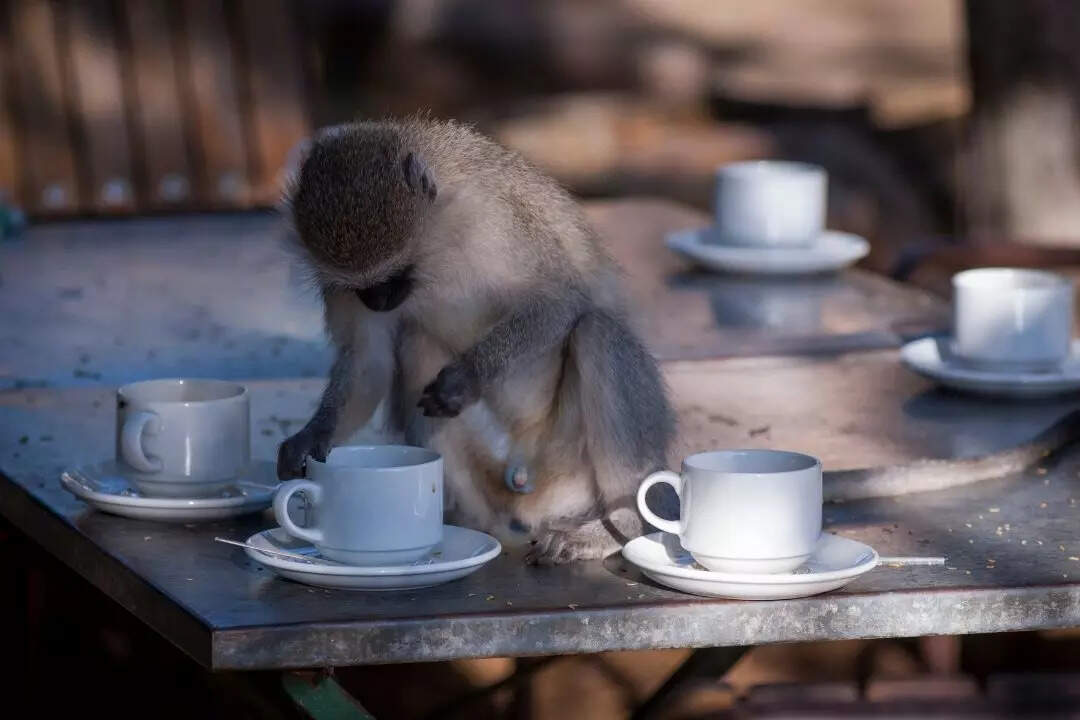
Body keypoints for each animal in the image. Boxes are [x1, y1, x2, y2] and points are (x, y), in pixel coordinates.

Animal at [276, 117, 676, 565]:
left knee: (598, 332)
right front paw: (311, 436)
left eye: (396, 272)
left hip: (567, 467)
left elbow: (558, 299)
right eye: (362, 287)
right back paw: (473, 524)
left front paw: (467, 376)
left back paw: (619, 524)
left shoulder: (496, 219)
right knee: (416, 343)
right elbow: (367, 360)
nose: (378, 302)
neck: (438, 239)